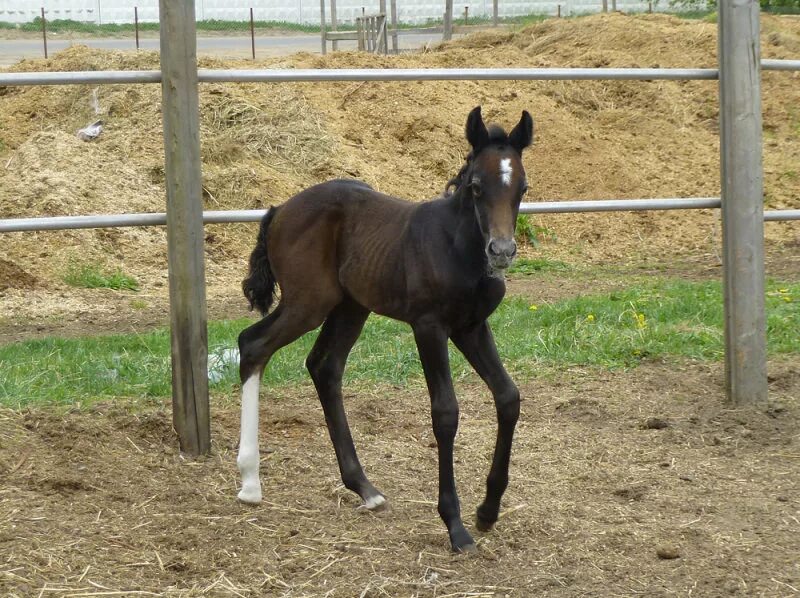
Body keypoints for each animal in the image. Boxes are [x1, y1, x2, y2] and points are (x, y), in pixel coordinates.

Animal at [238, 106, 536, 552]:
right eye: (476, 187)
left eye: (522, 186)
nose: (501, 252)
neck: (457, 246)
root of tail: (280, 210)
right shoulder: (429, 327)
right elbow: (445, 413)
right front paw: (455, 525)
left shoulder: (472, 327)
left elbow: (508, 397)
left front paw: (487, 511)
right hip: (307, 304)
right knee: (253, 344)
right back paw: (250, 483)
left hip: (350, 307)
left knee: (324, 366)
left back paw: (364, 488)